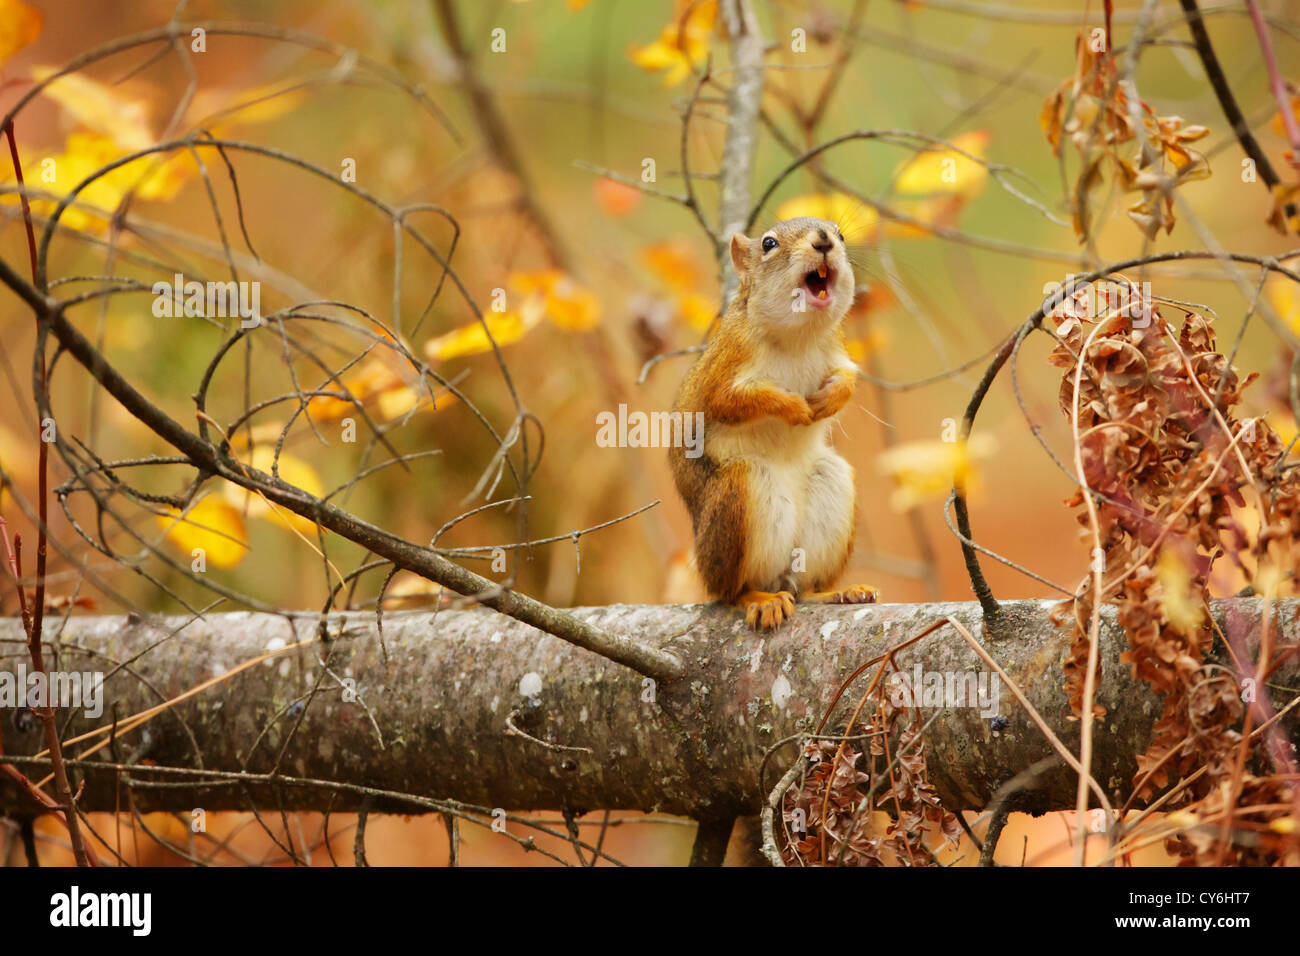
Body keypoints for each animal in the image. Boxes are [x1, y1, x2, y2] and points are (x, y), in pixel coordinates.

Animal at [669, 217, 878, 630]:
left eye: (840, 234)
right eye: (768, 243)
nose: (825, 240)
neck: (798, 335)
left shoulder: (838, 351)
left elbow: (848, 378)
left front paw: (829, 399)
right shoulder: (723, 372)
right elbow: (737, 401)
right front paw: (793, 407)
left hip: (832, 489)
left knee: (806, 587)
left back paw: (838, 592)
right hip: (737, 496)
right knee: (731, 592)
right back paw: (759, 599)